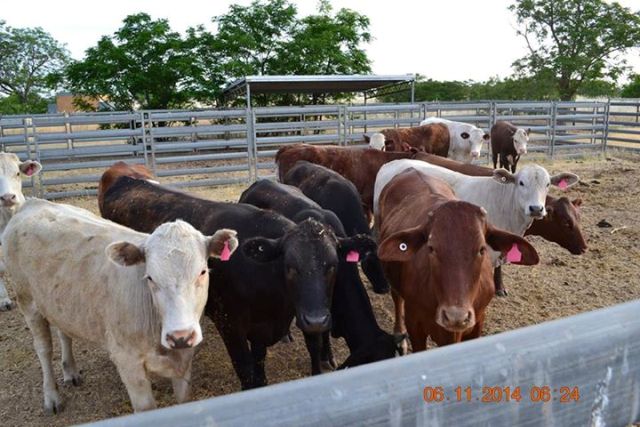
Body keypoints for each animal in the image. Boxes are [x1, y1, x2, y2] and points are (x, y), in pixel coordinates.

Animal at [2, 198, 238, 413]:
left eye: (203, 271)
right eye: (150, 277)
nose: (180, 336)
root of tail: (33, 203)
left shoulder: (185, 360)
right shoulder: (127, 361)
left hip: (59, 303)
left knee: (64, 332)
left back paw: (71, 371)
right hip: (27, 301)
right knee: (43, 349)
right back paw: (51, 397)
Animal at [99, 170, 373, 389]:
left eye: (333, 266)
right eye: (290, 267)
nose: (316, 321)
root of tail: (125, 180)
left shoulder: (261, 327)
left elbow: (259, 362)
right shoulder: (230, 325)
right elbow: (246, 369)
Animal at [376, 168, 538, 351]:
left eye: (482, 249)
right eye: (431, 248)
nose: (456, 316)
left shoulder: (477, 322)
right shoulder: (415, 324)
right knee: (397, 297)